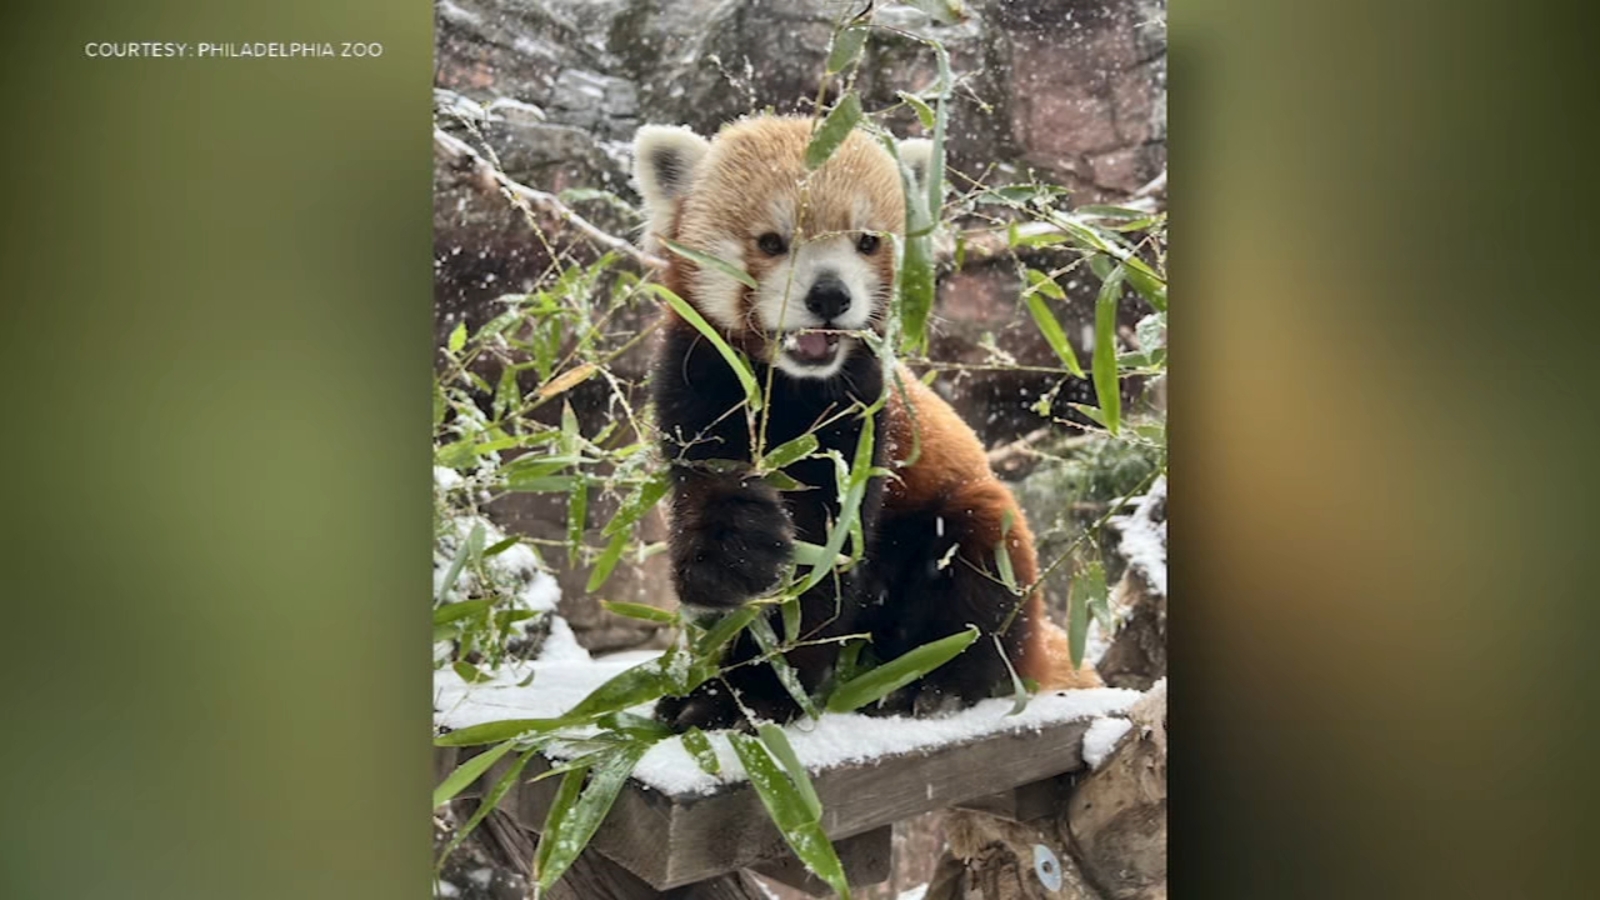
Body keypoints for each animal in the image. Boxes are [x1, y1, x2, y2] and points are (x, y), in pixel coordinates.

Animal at [632, 115, 1100, 731]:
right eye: (772, 242)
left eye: (867, 241)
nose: (830, 295)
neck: (790, 388)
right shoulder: (698, 382)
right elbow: (711, 497)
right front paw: (732, 564)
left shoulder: (866, 426)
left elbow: (828, 559)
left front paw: (758, 693)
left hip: (980, 533)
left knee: (981, 572)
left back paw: (935, 682)